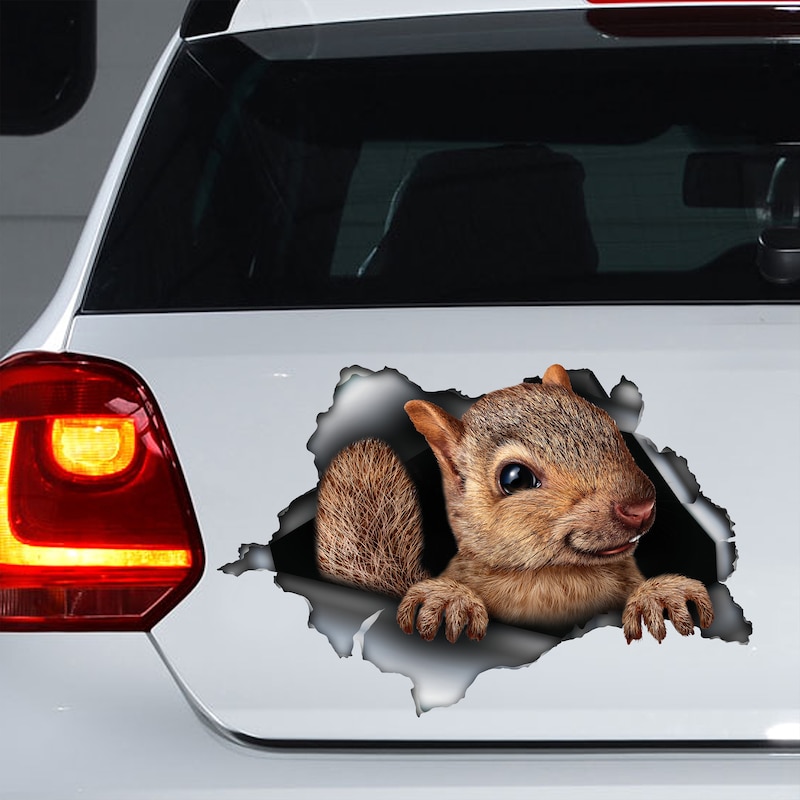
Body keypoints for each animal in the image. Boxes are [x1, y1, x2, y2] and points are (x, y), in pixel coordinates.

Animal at [315, 364, 714, 644]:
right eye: (515, 478)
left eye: (611, 429)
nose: (639, 508)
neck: (555, 579)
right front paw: (448, 600)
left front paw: (660, 595)